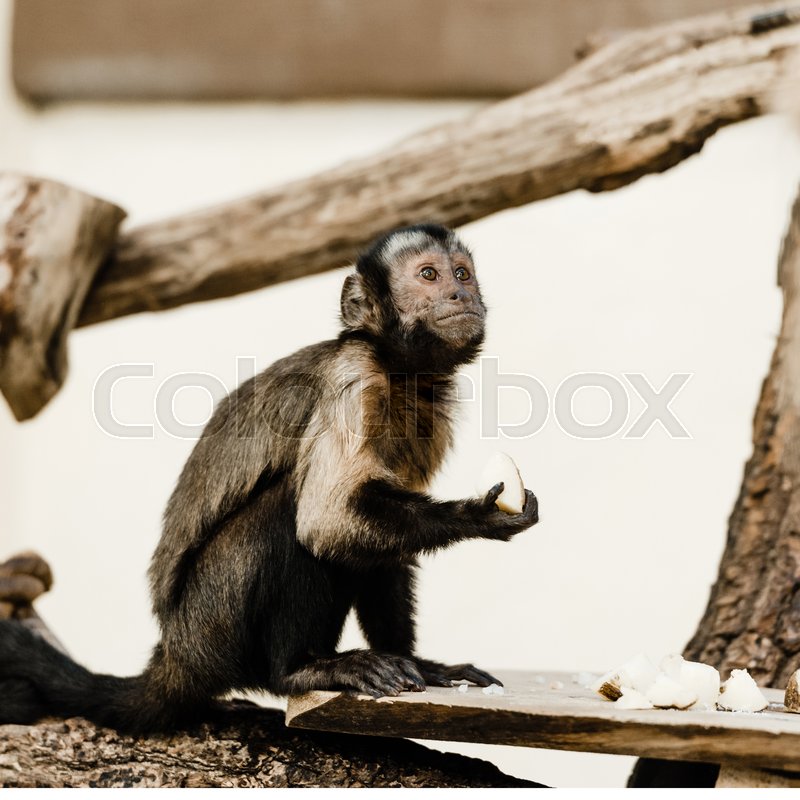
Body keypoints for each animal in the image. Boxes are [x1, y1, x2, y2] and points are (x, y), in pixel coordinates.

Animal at [0, 223, 539, 734]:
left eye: (462, 274)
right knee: (286, 512)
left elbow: (380, 538)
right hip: (213, 624)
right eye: (429, 275)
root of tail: (175, 654)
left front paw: (423, 666)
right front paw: (480, 517)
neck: (399, 370)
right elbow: (326, 521)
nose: (461, 295)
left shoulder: (432, 410)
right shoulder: (353, 380)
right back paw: (300, 670)